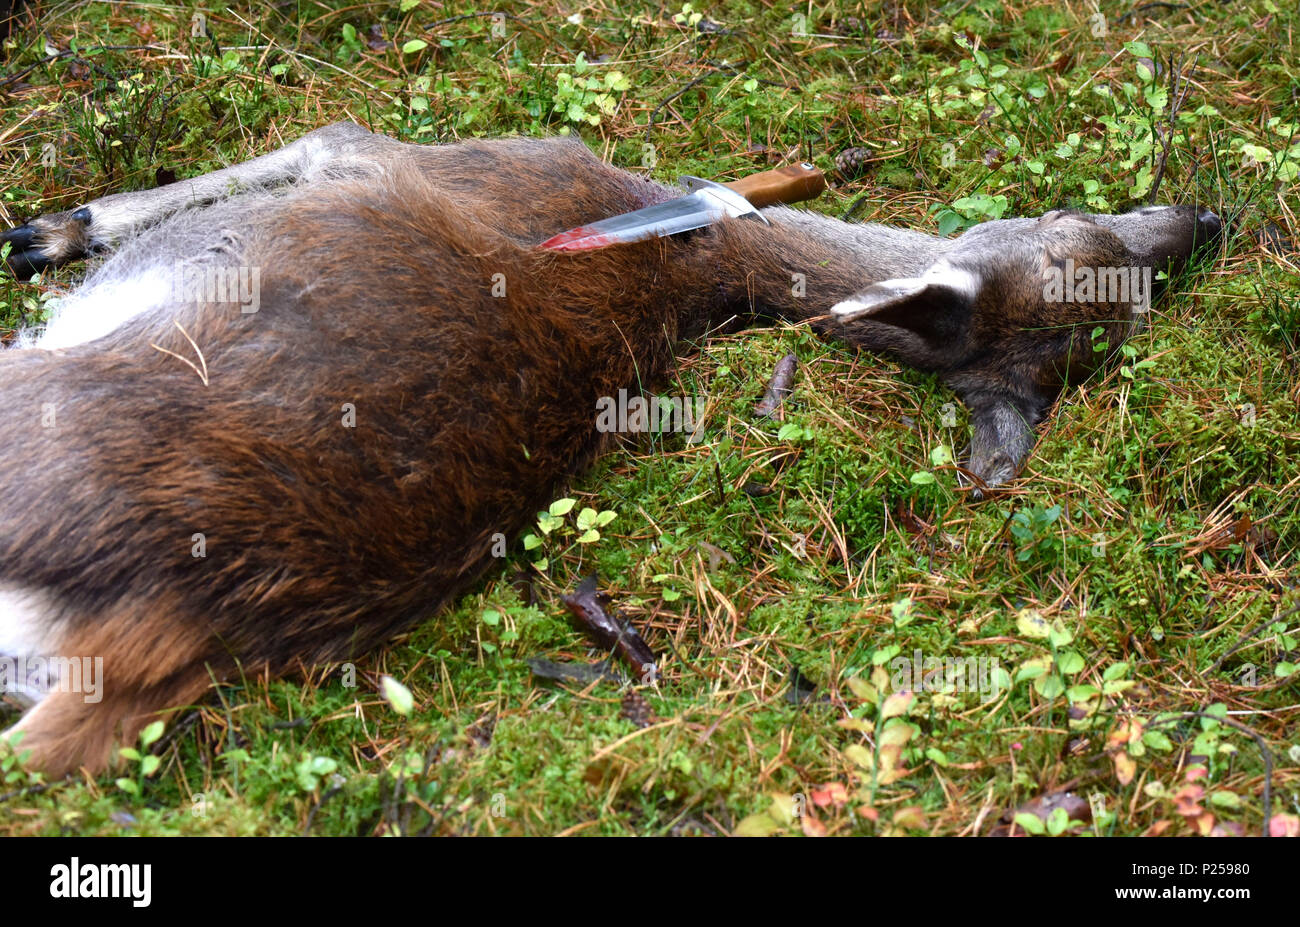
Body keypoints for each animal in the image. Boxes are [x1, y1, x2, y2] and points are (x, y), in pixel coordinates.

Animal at [0, 121, 1220, 777]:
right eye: (1083, 233)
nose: (1205, 221)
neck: (691, 238)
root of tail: (153, 628)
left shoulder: (411, 152)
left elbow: (325, 135)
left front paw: (58, 226)